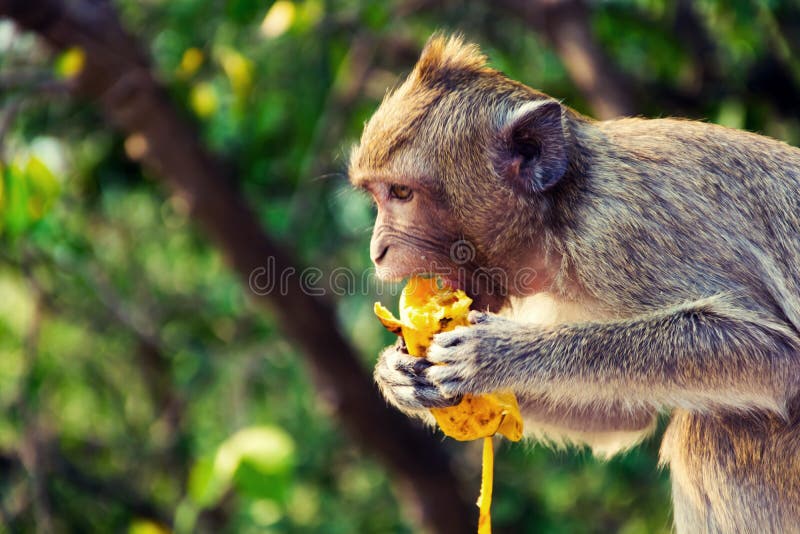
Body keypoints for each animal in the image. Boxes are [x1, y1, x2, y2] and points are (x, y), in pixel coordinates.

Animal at [348, 34, 800, 533]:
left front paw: (498, 355)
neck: (561, 209)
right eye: (377, 196)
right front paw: (395, 375)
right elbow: (623, 411)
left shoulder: (623, 233)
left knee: (712, 433)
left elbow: (774, 354)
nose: (376, 250)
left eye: (401, 194)